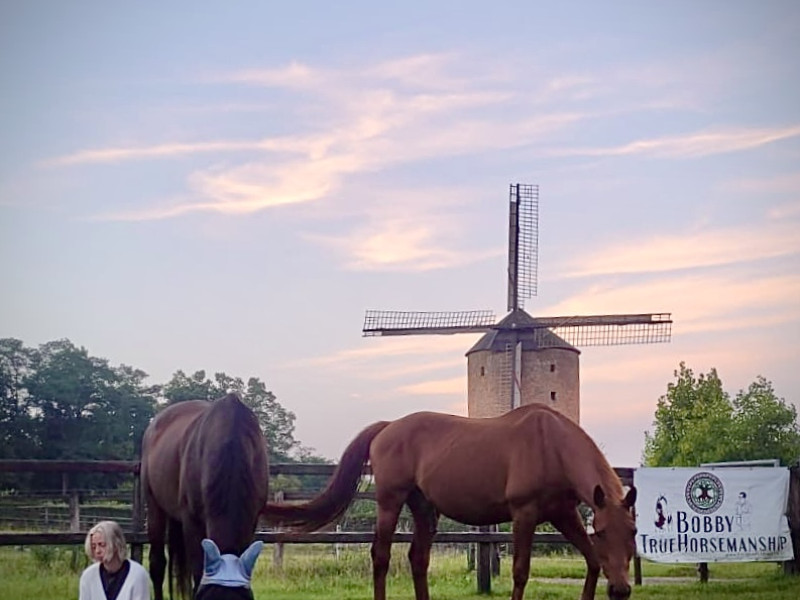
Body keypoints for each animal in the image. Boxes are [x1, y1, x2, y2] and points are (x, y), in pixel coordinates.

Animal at [263, 403, 637, 600]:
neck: (551, 445)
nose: (621, 589)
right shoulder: (524, 514)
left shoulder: (563, 513)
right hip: (389, 501)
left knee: (417, 559)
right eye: (603, 532)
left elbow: (592, 561)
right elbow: (520, 571)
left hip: (424, 508)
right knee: (381, 556)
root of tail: (387, 426)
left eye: (632, 532)